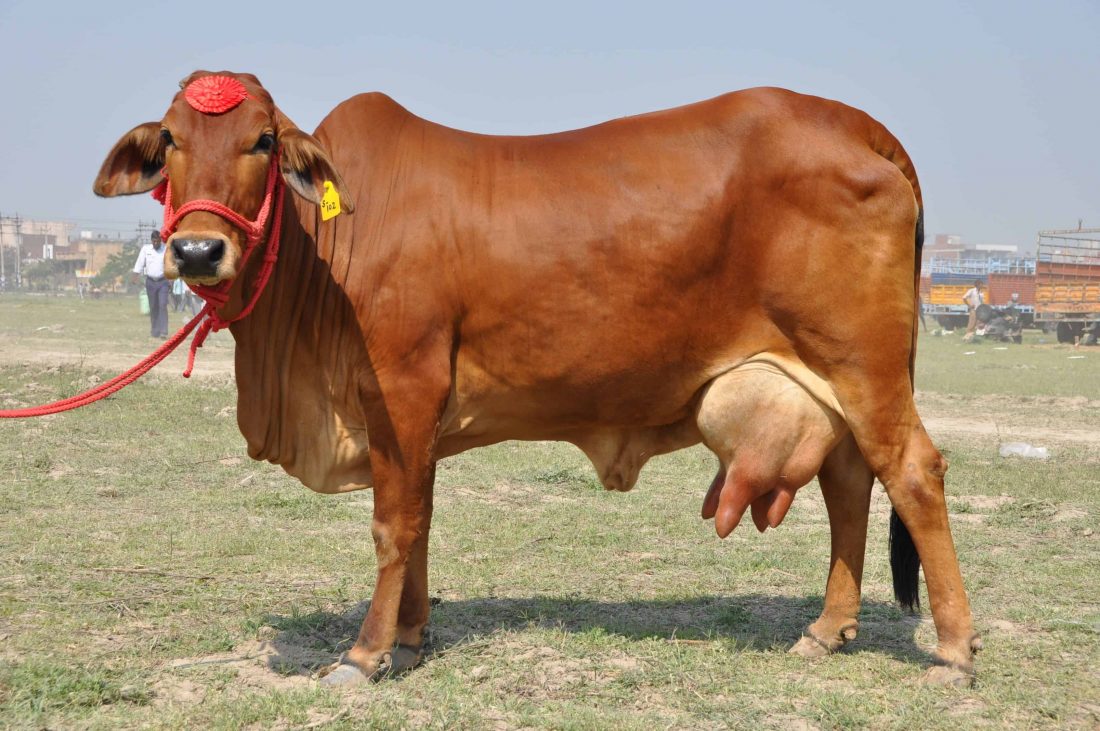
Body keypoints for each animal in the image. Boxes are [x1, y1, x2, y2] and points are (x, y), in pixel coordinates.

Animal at [93, 71, 980, 687]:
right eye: (170, 141)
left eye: (263, 142)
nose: (197, 251)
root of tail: (853, 123)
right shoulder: (415, 419)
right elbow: (421, 519)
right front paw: (411, 638)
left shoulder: (401, 390)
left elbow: (392, 526)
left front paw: (365, 652)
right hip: (830, 381)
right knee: (849, 483)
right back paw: (828, 629)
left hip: (864, 368)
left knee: (912, 472)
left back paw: (954, 649)